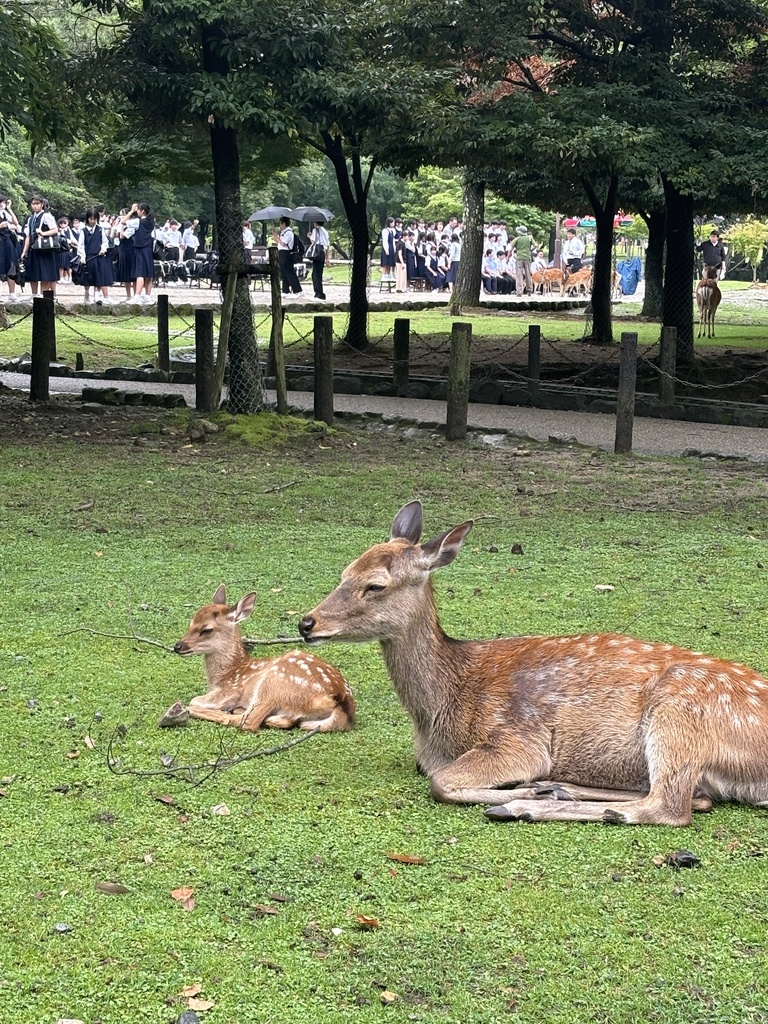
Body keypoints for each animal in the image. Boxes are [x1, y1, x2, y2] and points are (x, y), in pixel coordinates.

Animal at [174, 585, 355, 732]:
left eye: (207, 630)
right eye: (191, 623)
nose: (178, 646)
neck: (225, 674)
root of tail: (339, 703)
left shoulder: (231, 689)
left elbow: (196, 699)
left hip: (274, 683)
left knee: (249, 721)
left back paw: (191, 710)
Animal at [299, 501, 768, 826]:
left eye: (375, 585)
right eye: (345, 571)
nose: (307, 623)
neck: (439, 713)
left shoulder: (517, 739)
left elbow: (441, 782)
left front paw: (517, 793)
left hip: (679, 715)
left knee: (668, 806)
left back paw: (522, 804)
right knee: (692, 797)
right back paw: (553, 789)